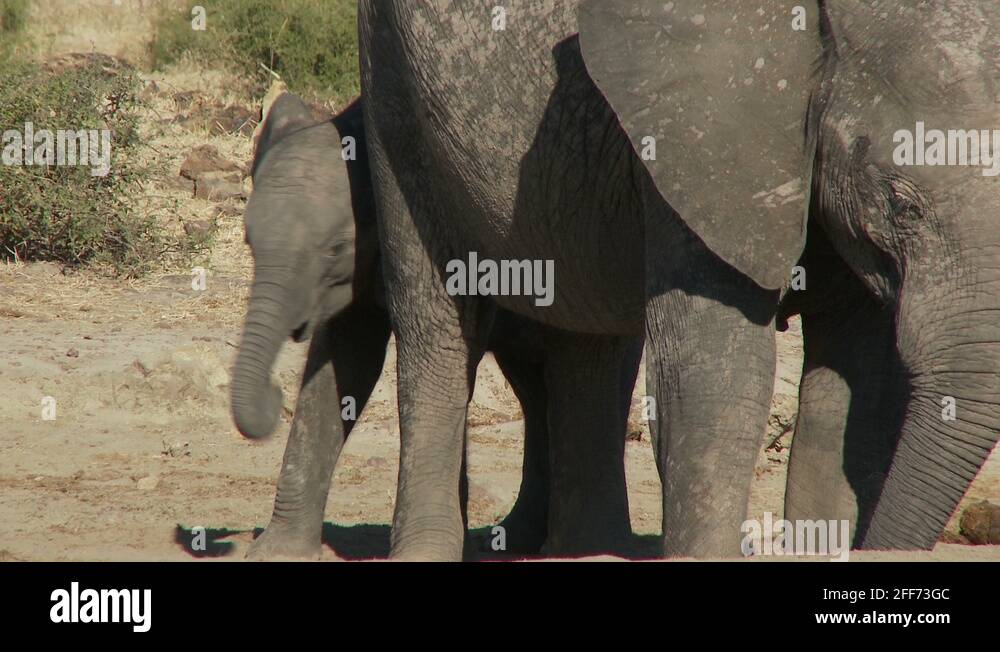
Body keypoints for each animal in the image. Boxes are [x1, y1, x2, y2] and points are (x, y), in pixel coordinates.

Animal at [231, 91, 642, 559]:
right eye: (248, 240)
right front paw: (275, 552)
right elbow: (345, 363)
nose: (272, 393)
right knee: (535, 392)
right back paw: (517, 537)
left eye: (334, 248)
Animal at [357, 0, 1000, 559]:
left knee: (590, 340)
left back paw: (591, 550)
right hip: (390, 78)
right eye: (901, 203)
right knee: (438, 322)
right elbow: (719, 378)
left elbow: (856, 391)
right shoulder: (698, 145)